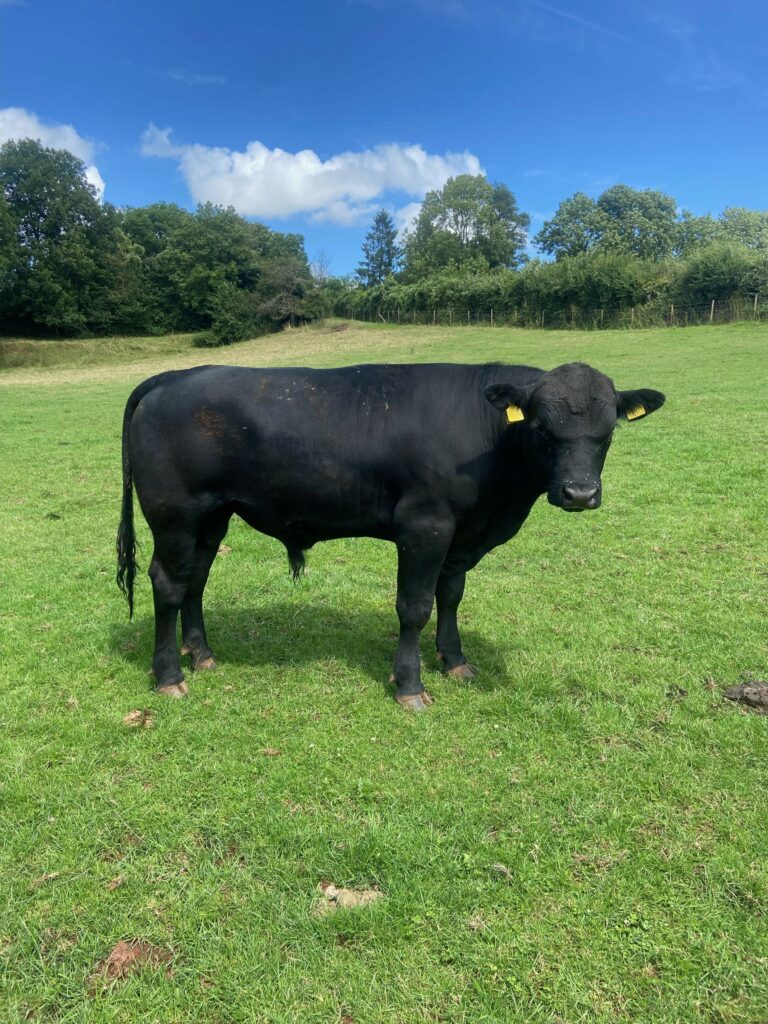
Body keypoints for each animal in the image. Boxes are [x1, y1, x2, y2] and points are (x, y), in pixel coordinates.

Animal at [116, 361, 665, 709]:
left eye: (608, 431)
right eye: (541, 428)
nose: (579, 493)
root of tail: (178, 375)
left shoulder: (461, 535)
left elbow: (450, 595)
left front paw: (455, 660)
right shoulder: (424, 524)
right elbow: (414, 606)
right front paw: (410, 685)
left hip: (212, 516)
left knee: (196, 579)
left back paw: (202, 654)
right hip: (174, 513)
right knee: (168, 583)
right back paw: (169, 676)